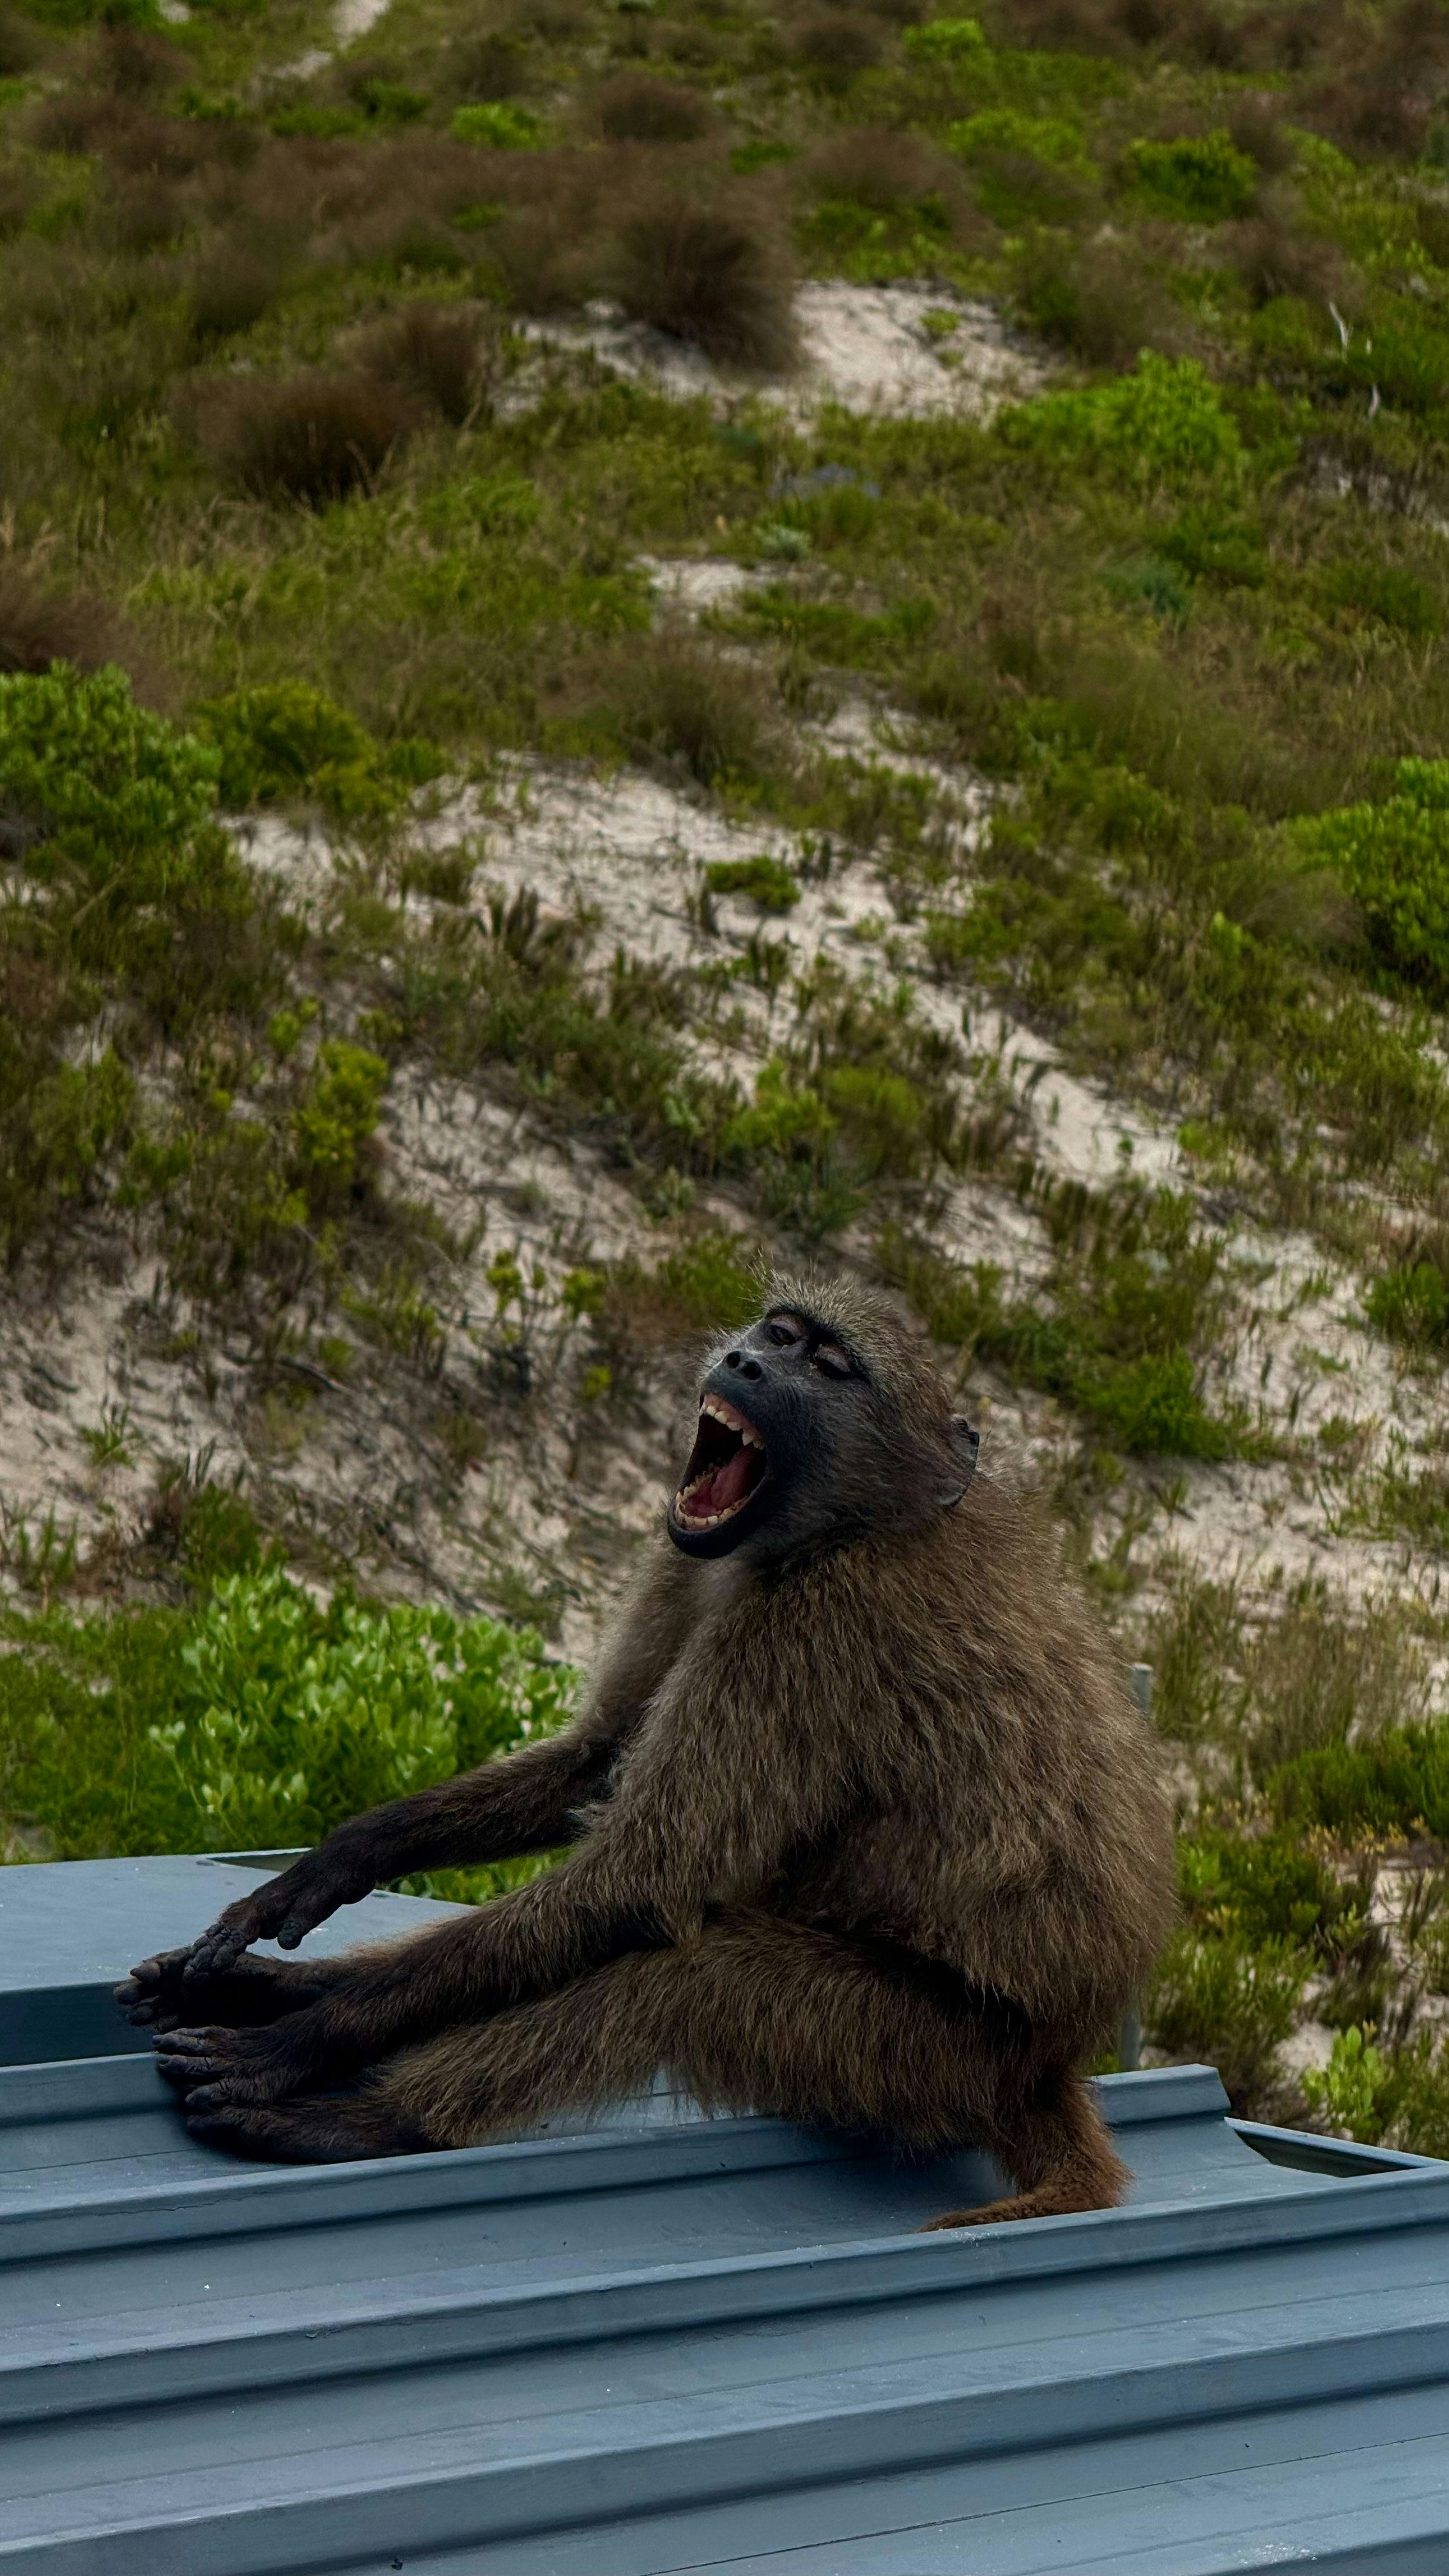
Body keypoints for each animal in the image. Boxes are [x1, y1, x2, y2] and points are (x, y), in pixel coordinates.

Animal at [117, 1275, 1175, 2228]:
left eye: (830, 1365)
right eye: (780, 1332)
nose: (745, 1361)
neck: (849, 1530)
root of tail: (1049, 2062)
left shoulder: (811, 1633)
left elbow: (639, 1878)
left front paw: (309, 2043)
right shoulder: (690, 1563)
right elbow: (598, 1760)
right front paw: (324, 1875)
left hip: (927, 2046)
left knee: (684, 1975)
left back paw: (369, 2118)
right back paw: (280, 1989)